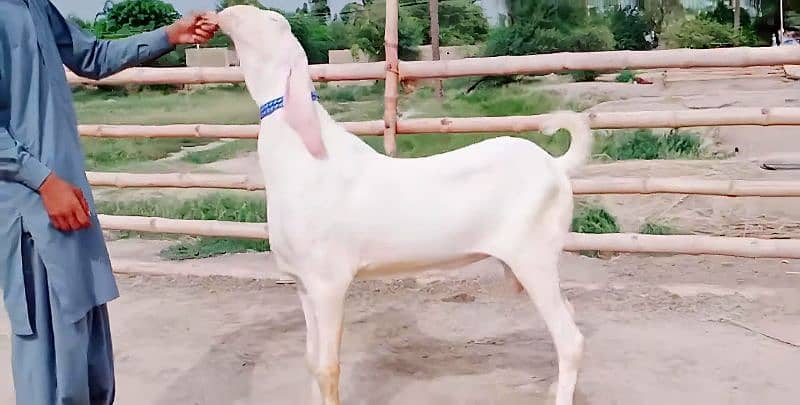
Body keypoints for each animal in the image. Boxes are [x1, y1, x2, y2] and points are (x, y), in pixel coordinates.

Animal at [213, 6, 592, 405]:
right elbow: (311, 362)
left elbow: (328, 368)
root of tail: (556, 165)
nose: (227, 12)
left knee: (570, 338)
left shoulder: (328, 283)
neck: (303, 153)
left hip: (533, 258)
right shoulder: (302, 284)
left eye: (272, 21)